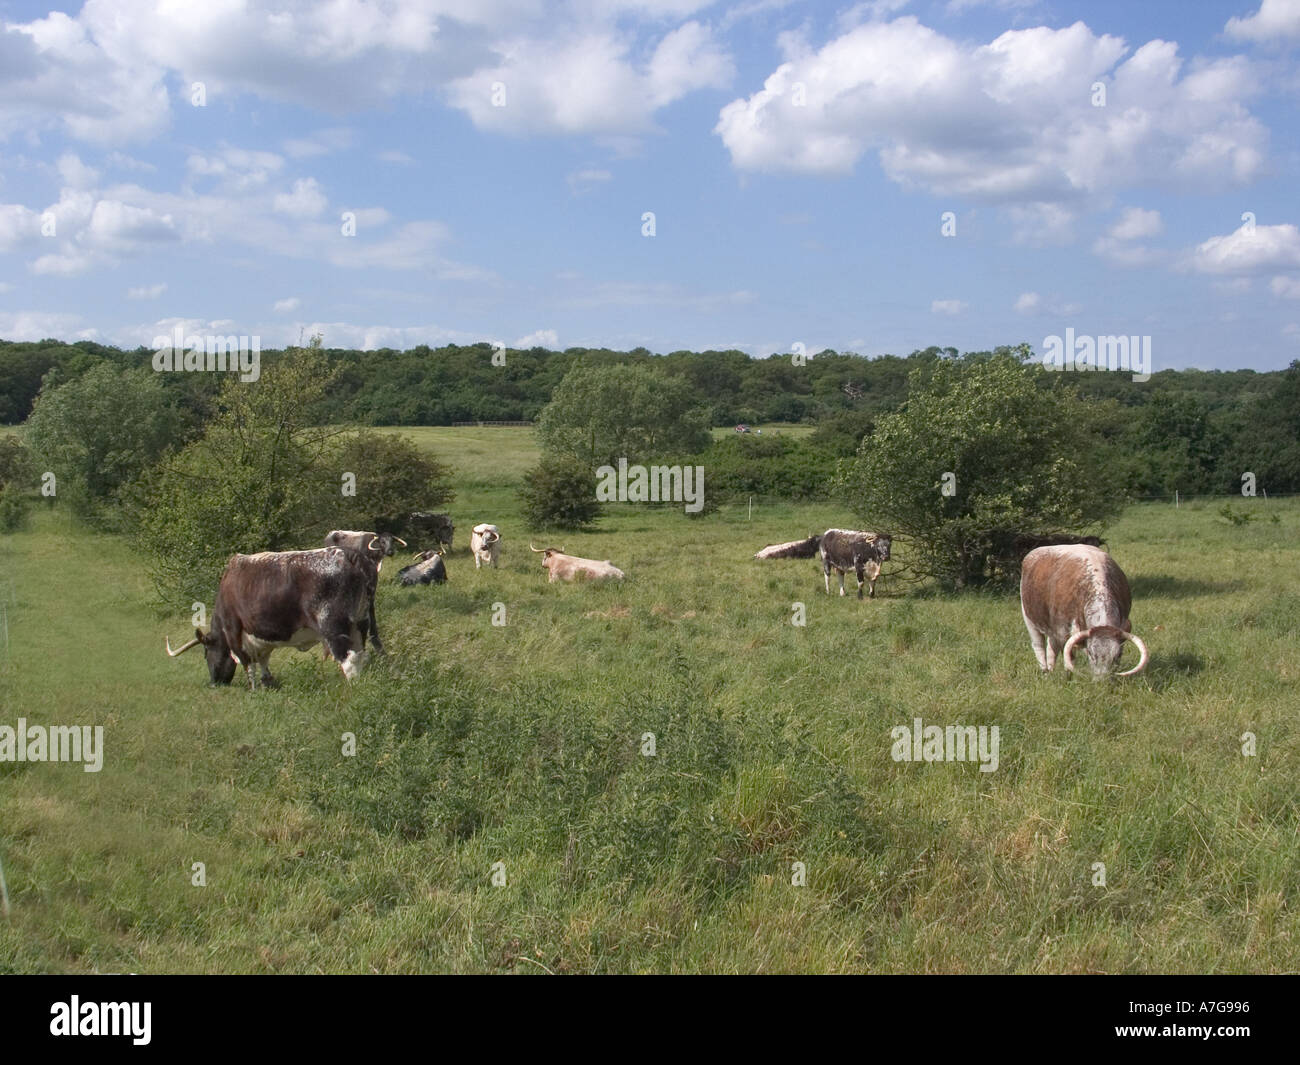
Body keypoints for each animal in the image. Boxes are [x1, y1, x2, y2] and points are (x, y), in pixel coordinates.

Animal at [165, 547, 373, 689]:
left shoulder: (234, 632)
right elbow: (264, 661)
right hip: (360, 623)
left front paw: (253, 689)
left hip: (333, 627)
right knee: (361, 655)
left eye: (206, 653)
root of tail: (347, 554)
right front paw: (267, 683)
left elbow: (248, 664)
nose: (213, 683)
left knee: (349, 660)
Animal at [1019, 544, 1149, 678]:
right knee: (1038, 646)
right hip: (1029, 619)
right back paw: (1045, 671)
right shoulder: (1062, 632)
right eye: (1091, 654)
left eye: (1117, 655)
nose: (1102, 679)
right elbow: (1068, 657)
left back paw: (1050, 669)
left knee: (1051, 647)